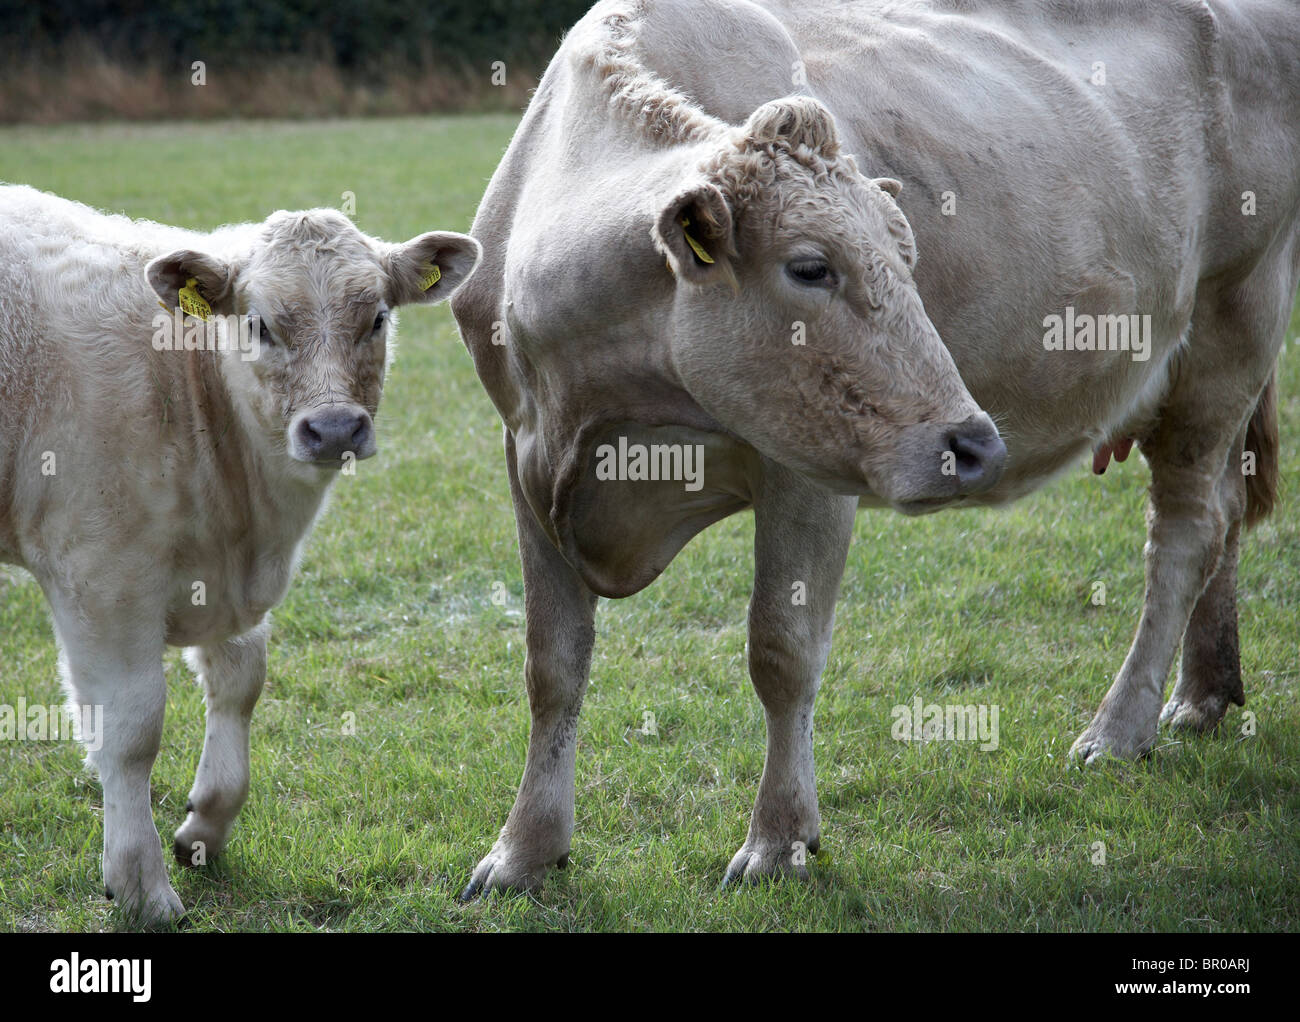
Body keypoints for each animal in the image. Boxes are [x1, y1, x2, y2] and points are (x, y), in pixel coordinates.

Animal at [0, 185, 481, 923]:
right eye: (258, 325)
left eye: (376, 319)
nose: (333, 428)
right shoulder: (102, 578)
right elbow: (131, 728)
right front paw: (140, 885)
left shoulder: (223, 579)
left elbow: (240, 681)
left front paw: (205, 824)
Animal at [450, 0, 1298, 896]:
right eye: (810, 267)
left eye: (908, 257)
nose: (975, 443)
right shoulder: (526, 459)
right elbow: (553, 665)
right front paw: (523, 850)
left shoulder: (809, 472)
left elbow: (782, 654)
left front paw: (779, 838)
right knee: (1224, 517)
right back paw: (1205, 692)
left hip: (1233, 326)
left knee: (1187, 533)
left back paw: (1120, 726)